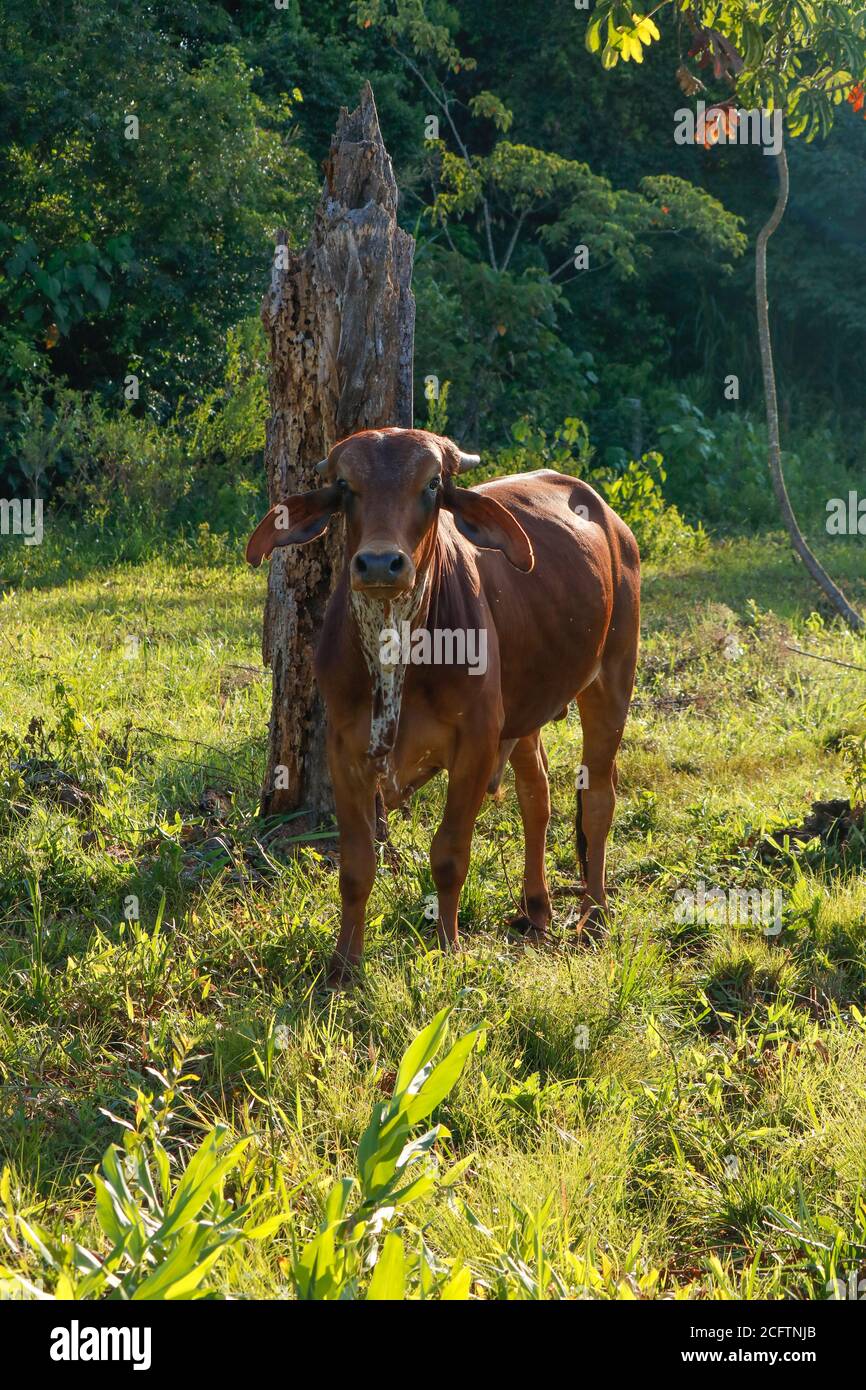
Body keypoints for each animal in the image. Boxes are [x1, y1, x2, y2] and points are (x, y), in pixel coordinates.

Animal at [247, 427, 640, 985]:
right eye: (344, 486)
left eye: (432, 484)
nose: (380, 563)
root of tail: (609, 518)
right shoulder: (345, 751)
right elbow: (356, 865)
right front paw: (345, 963)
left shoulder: (475, 745)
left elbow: (450, 854)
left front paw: (448, 946)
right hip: (525, 711)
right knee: (536, 794)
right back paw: (536, 908)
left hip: (612, 677)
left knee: (600, 800)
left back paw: (594, 914)